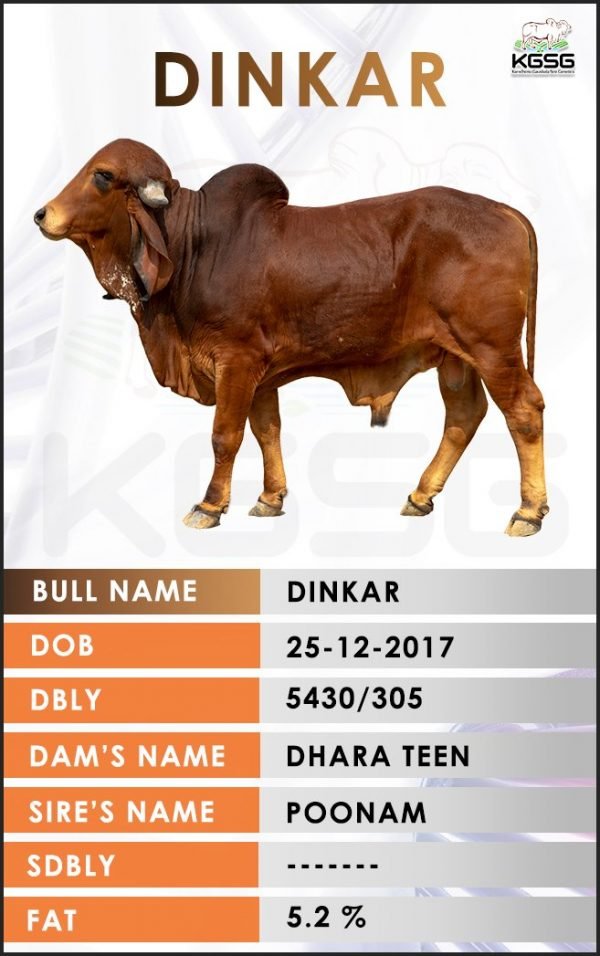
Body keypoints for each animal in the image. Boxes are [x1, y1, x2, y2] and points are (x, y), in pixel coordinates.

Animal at [34, 139, 549, 535]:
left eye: (103, 176)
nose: (42, 214)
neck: (193, 246)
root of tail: (505, 209)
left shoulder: (236, 360)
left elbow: (225, 436)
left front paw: (210, 506)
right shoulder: (258, 373)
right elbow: (266, 430)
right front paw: (270, 498)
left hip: (492, 349)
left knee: (524, 412)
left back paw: (527, 512)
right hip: (455, 355)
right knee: (465, 416)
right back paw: (421, 495)